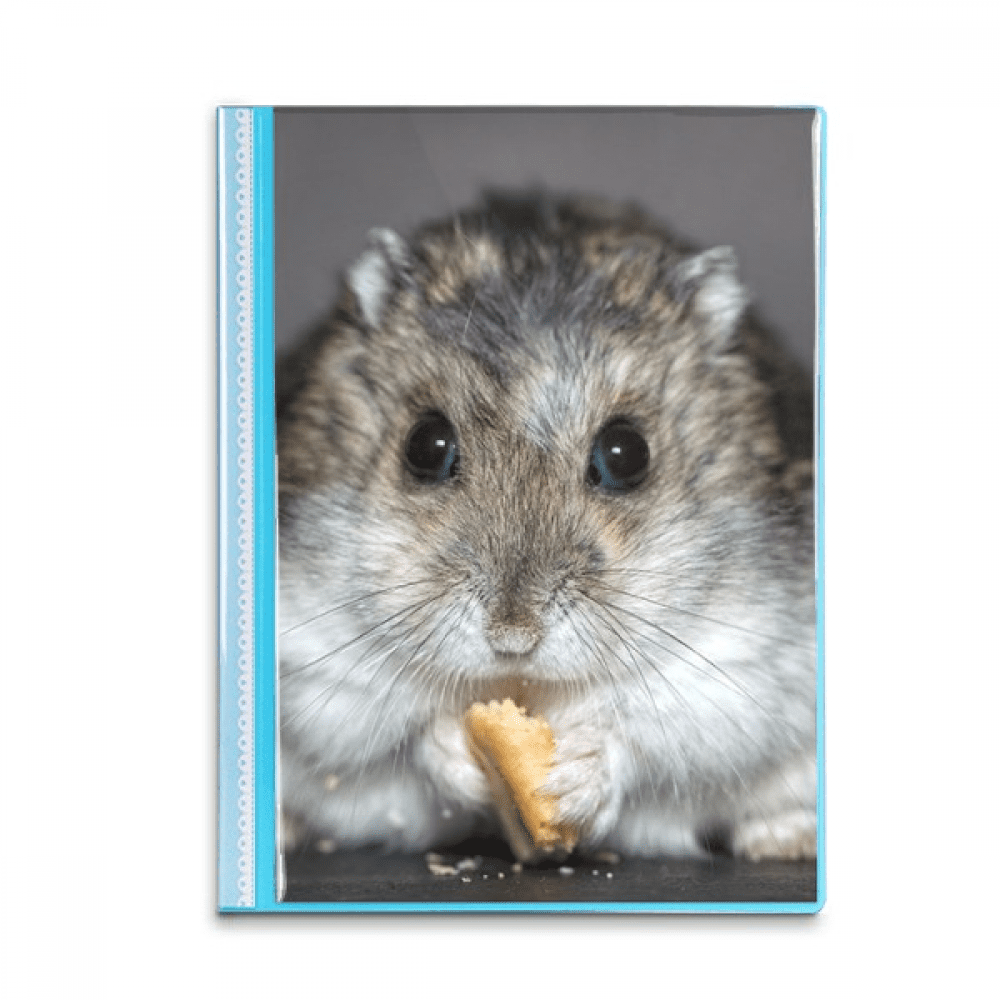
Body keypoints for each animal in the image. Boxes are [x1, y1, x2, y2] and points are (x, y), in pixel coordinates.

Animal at [277, 192, 816, 862]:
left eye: (626, 454)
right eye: (425, 446)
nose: (513, 638)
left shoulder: (742, 667)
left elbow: (645, 735)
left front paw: (570, 780)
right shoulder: (315, 661)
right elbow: (403, 735)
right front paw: (463, 754)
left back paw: (784, 839)